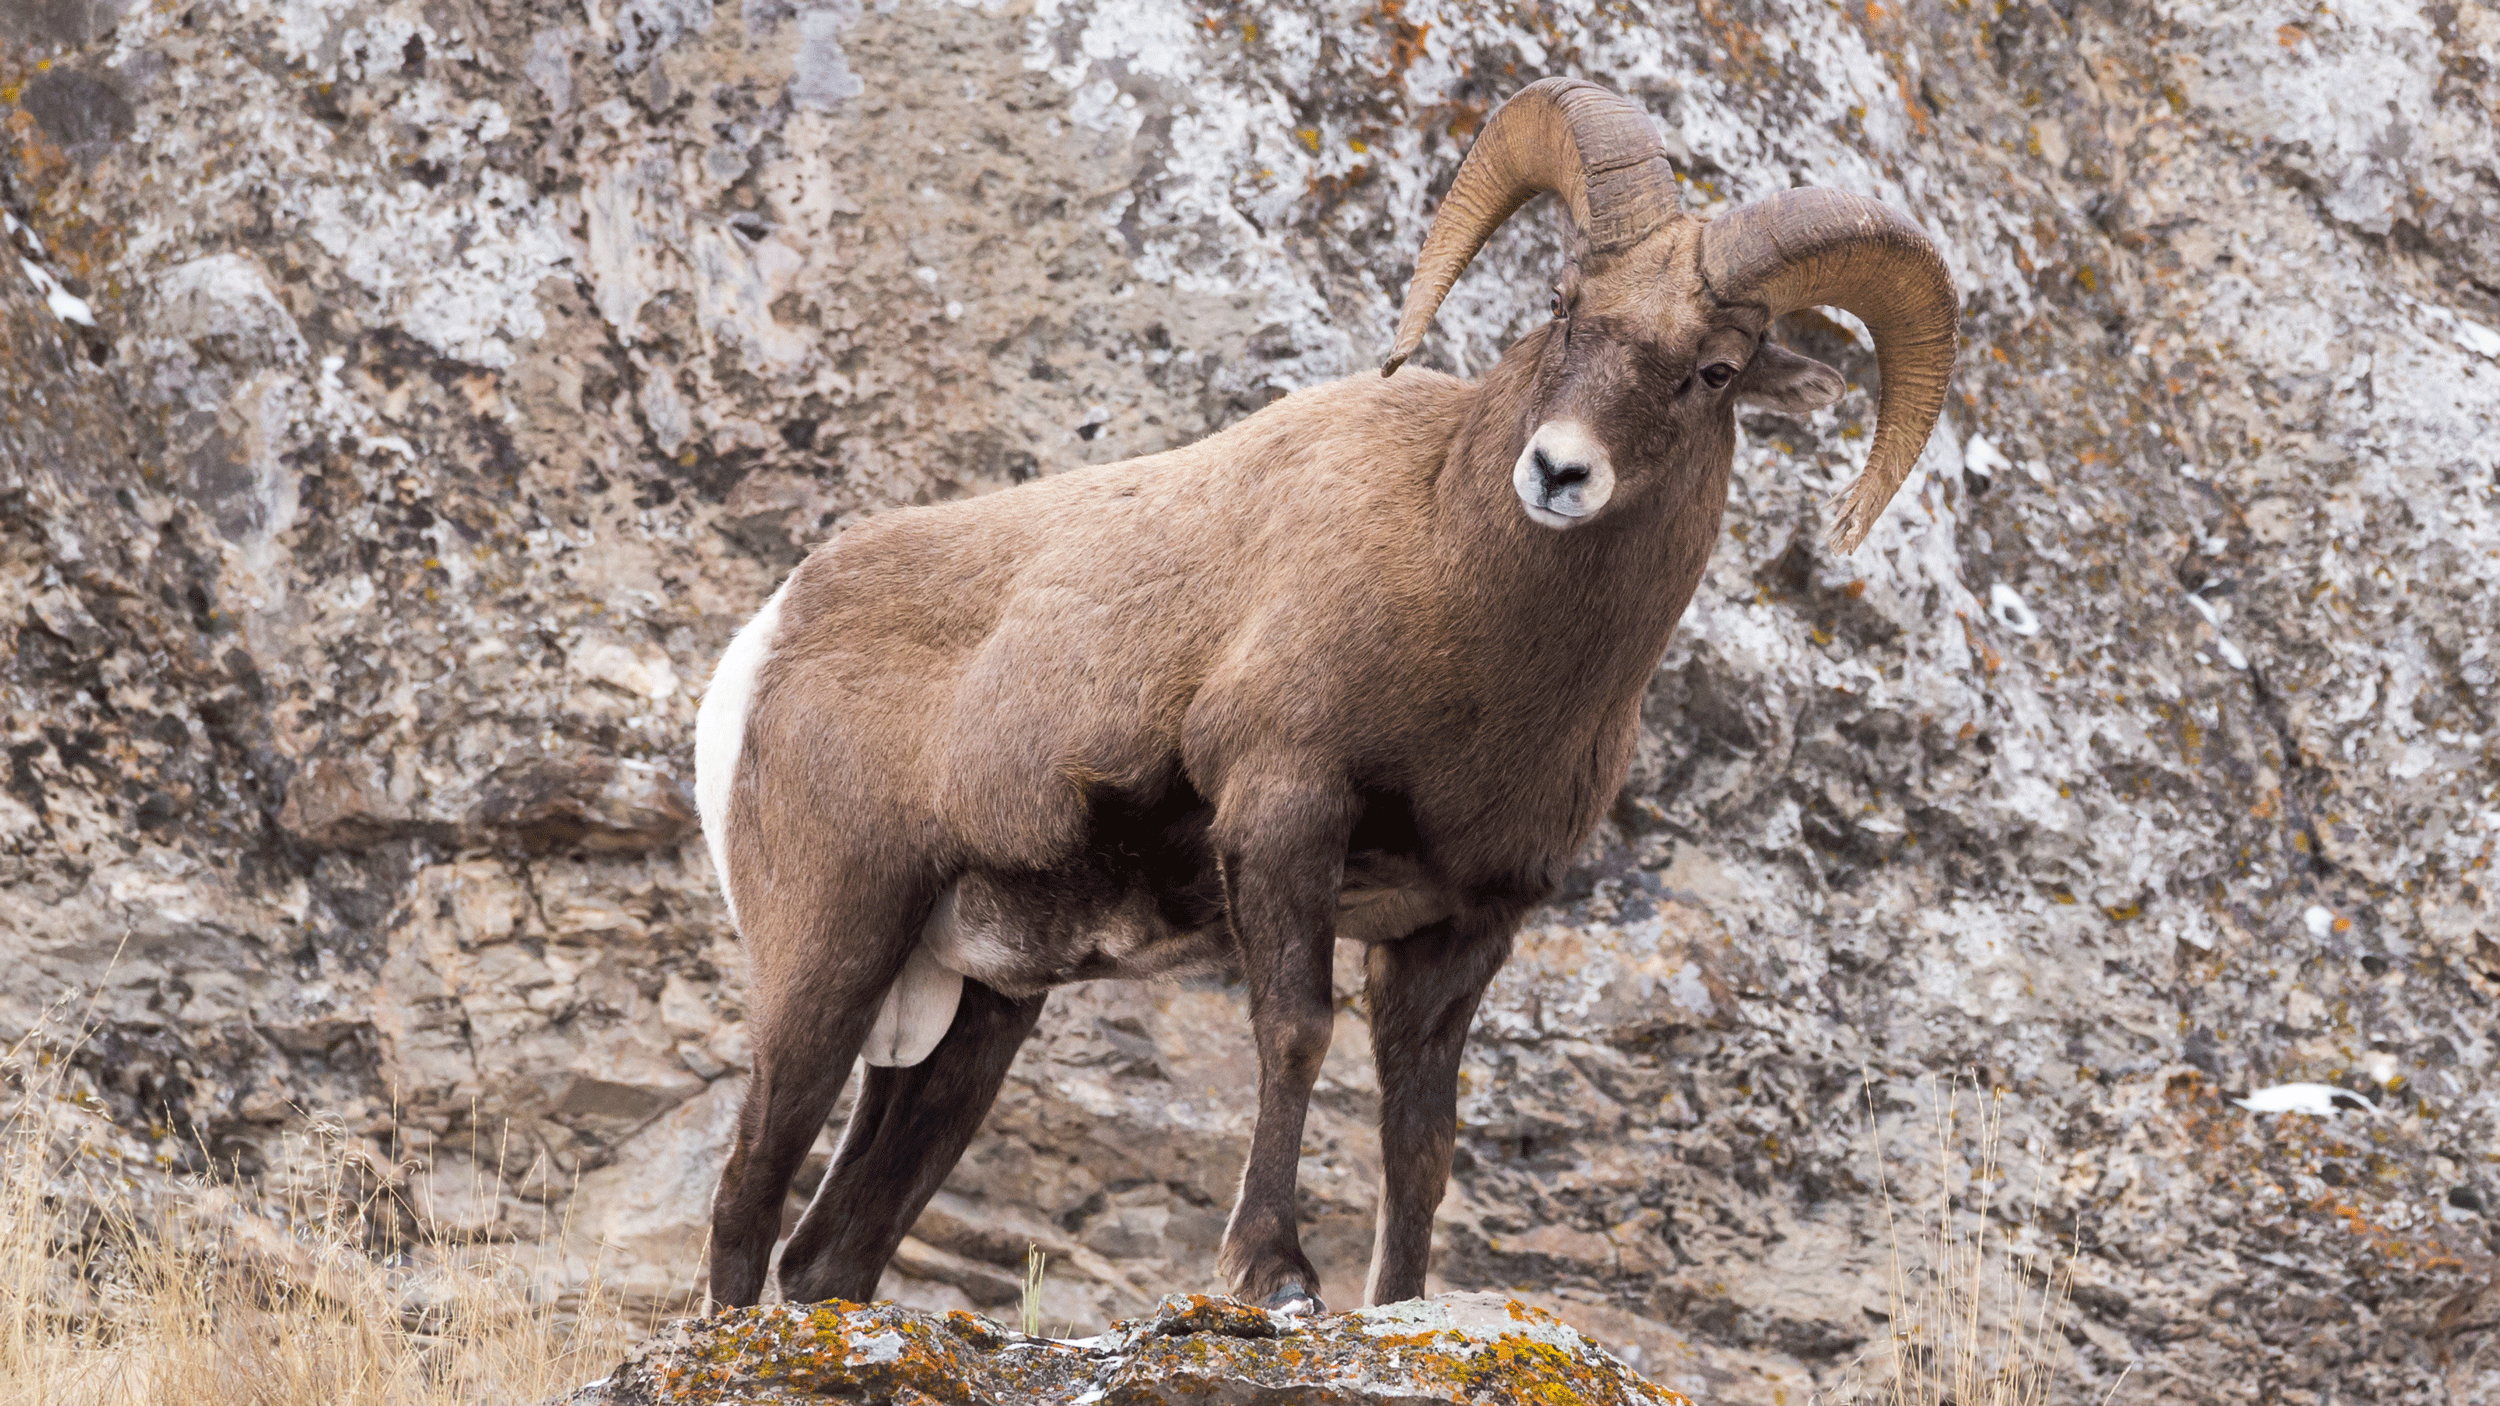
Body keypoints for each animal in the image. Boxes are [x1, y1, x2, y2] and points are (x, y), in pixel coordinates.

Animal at [694, 75, 1957, 1315]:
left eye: (1715, 369)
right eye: (1563, 304)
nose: (1558, 471)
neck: (1466, 613)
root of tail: (768, 638)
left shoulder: (1464, 921)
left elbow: (1422, 1136)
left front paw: (1394, 1300)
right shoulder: (1286, 808)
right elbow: (1296, 1033)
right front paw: (1272, 1272)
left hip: (973, 1019)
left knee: (828, 1258)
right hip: (830, 955)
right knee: (746, 1194)